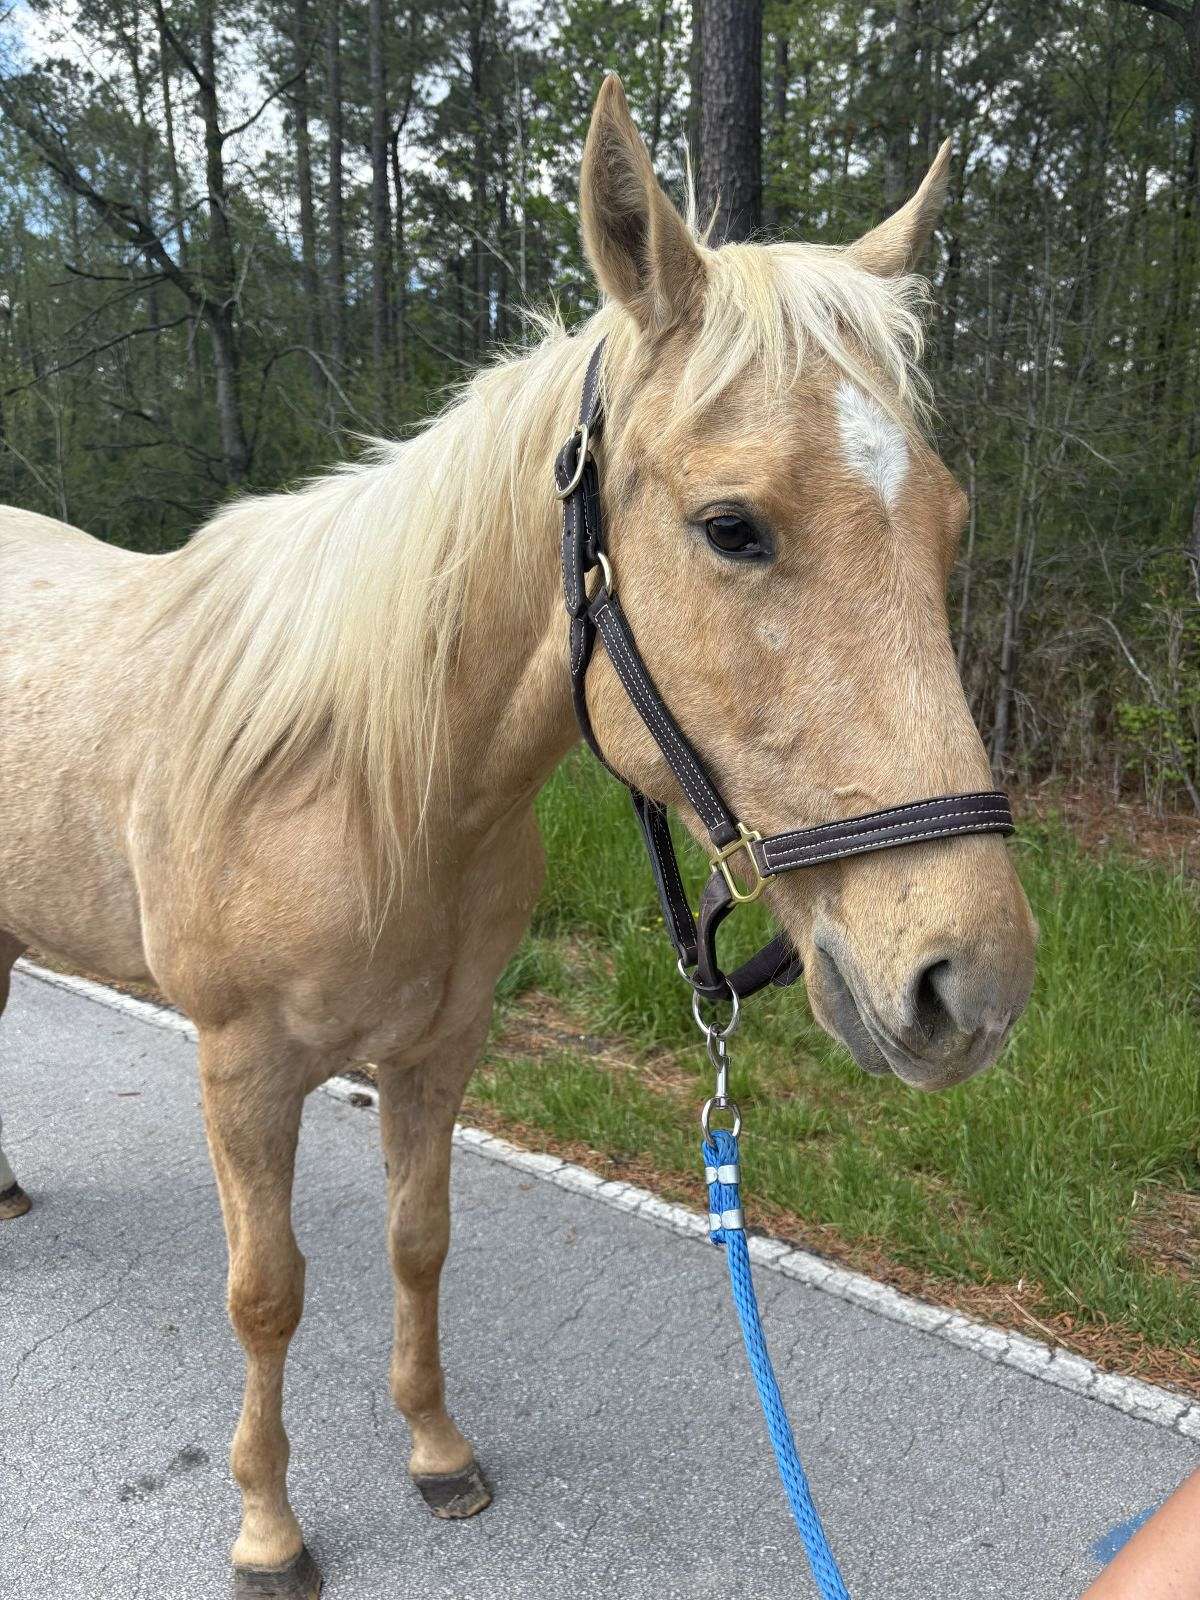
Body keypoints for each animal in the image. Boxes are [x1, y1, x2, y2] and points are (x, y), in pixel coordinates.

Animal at [0, 75, 1036, 1599]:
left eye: (948, 526)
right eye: (733, 527)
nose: (970, 983)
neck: (369, 786)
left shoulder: (439, 1049)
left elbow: (418, 1245)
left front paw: (436, 1453)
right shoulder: (243, 1073)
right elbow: (267, 1295)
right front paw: (268, 1526)